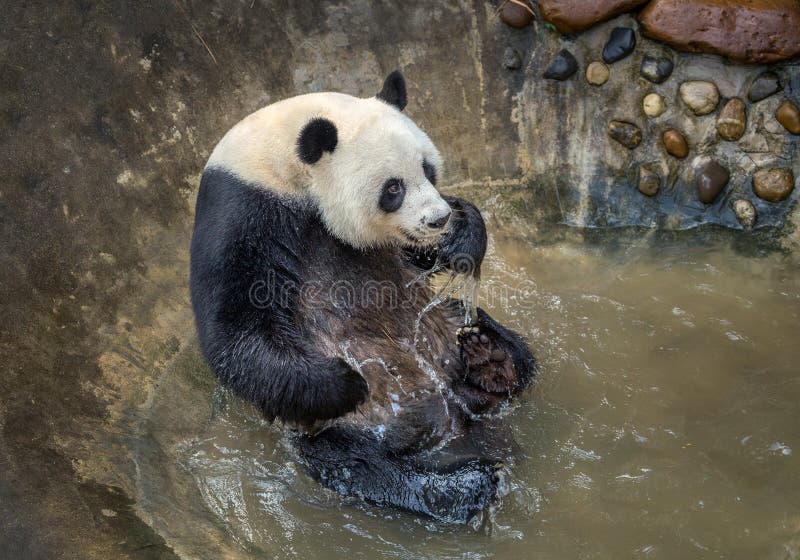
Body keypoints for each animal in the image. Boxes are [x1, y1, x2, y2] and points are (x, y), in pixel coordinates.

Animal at [190, 71, 535, 524]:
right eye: (393, 188)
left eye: (428, 169)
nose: (438, 218)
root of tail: (449, 421)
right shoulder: (241, 210)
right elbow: (233, 322)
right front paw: (345, 382)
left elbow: (420, 257)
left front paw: (461, 233)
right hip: (344, 428)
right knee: (357, 465)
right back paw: (457, 486)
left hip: (444, 336)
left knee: (503, 350)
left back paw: (490, 360)